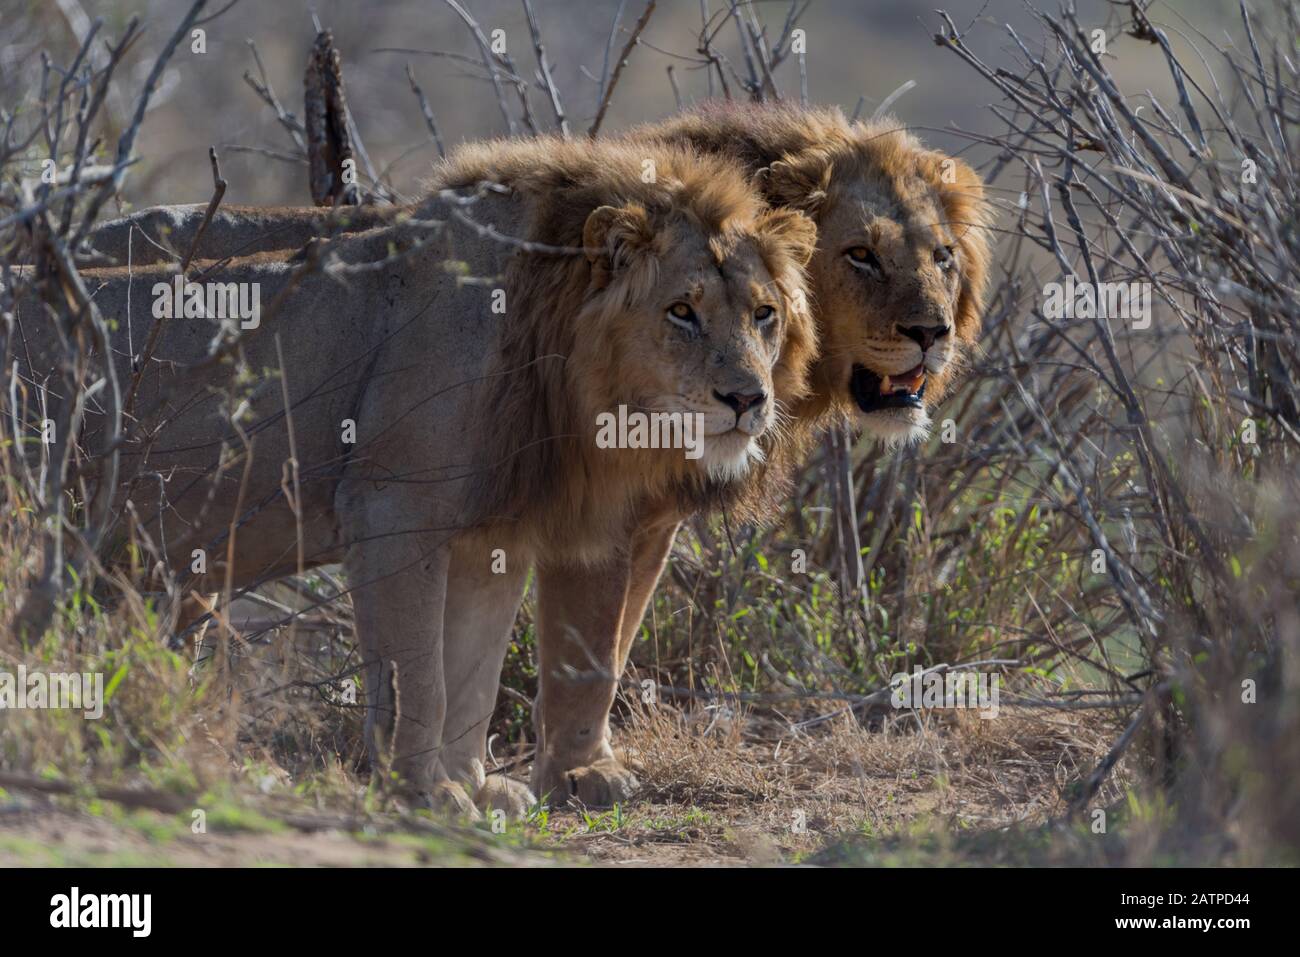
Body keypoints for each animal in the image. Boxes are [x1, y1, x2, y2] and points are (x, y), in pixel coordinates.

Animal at [71, 104, 991, 811]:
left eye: (942, 258)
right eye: (862, 254)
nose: (931, 332)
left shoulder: (523, 525)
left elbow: (510, 663)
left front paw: (497, 781)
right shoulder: (440, 507)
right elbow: (506, 664)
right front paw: (505, 783)